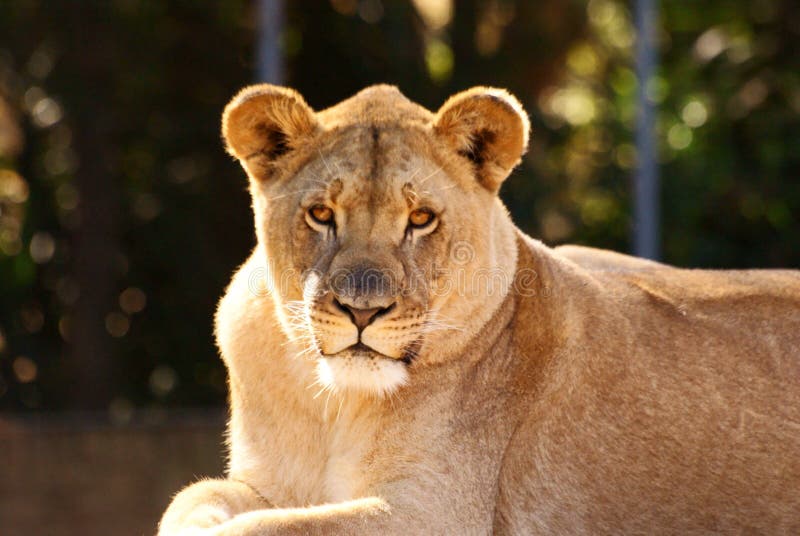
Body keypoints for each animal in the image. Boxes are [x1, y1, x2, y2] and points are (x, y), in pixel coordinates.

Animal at [159, 84, 800, 535]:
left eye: (421, 219)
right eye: (321, 214)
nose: (362, 311)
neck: (335, 406)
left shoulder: (434, 512)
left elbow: (272, 530)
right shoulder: (265, 482)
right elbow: (193, 498)